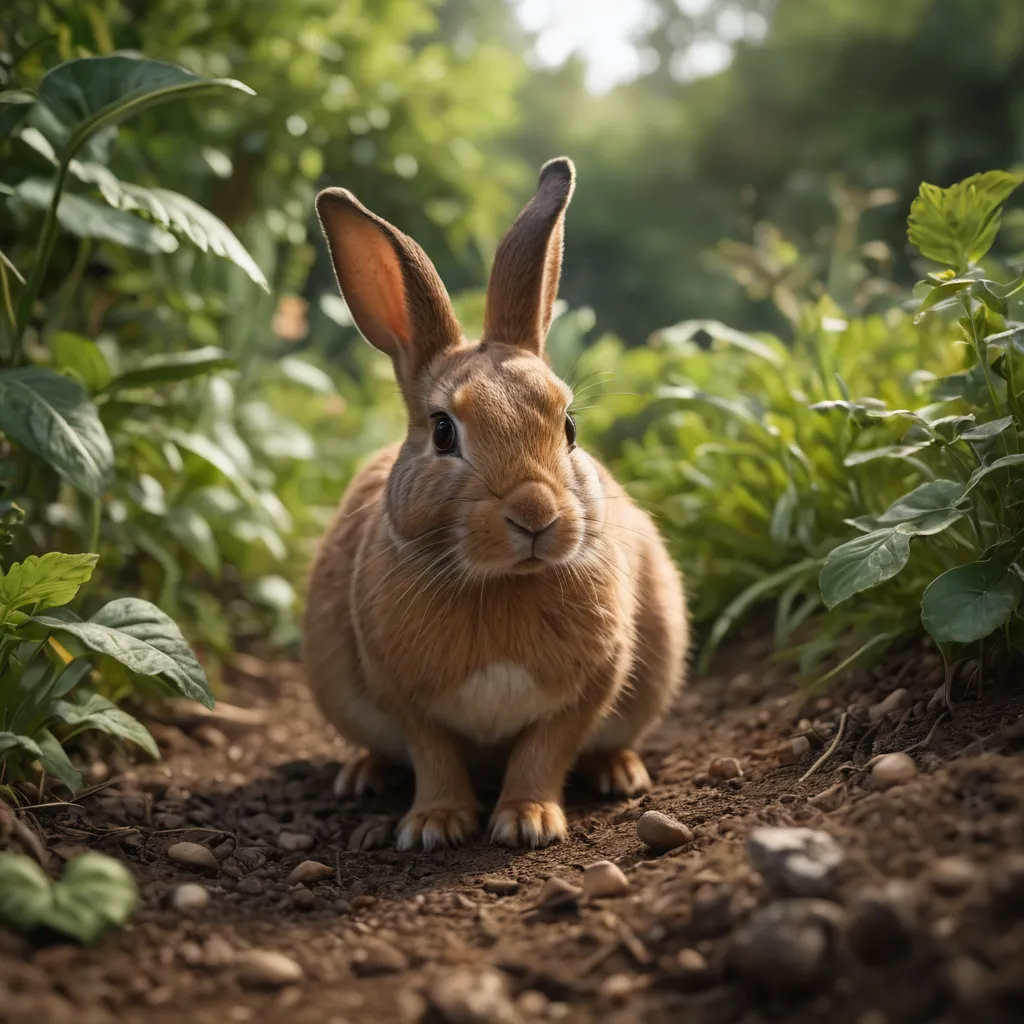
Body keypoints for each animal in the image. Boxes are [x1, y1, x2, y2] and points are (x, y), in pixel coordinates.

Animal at [303, 157, 689, 851]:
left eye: (569, 426)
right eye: (443, 432)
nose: (535, 516)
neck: (501, 581)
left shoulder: (589, 688)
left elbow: (545, 750)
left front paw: (527, 821)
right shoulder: (402, 695)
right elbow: (433, 754)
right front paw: (435, 825)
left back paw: (621, 772)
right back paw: (361, 775)